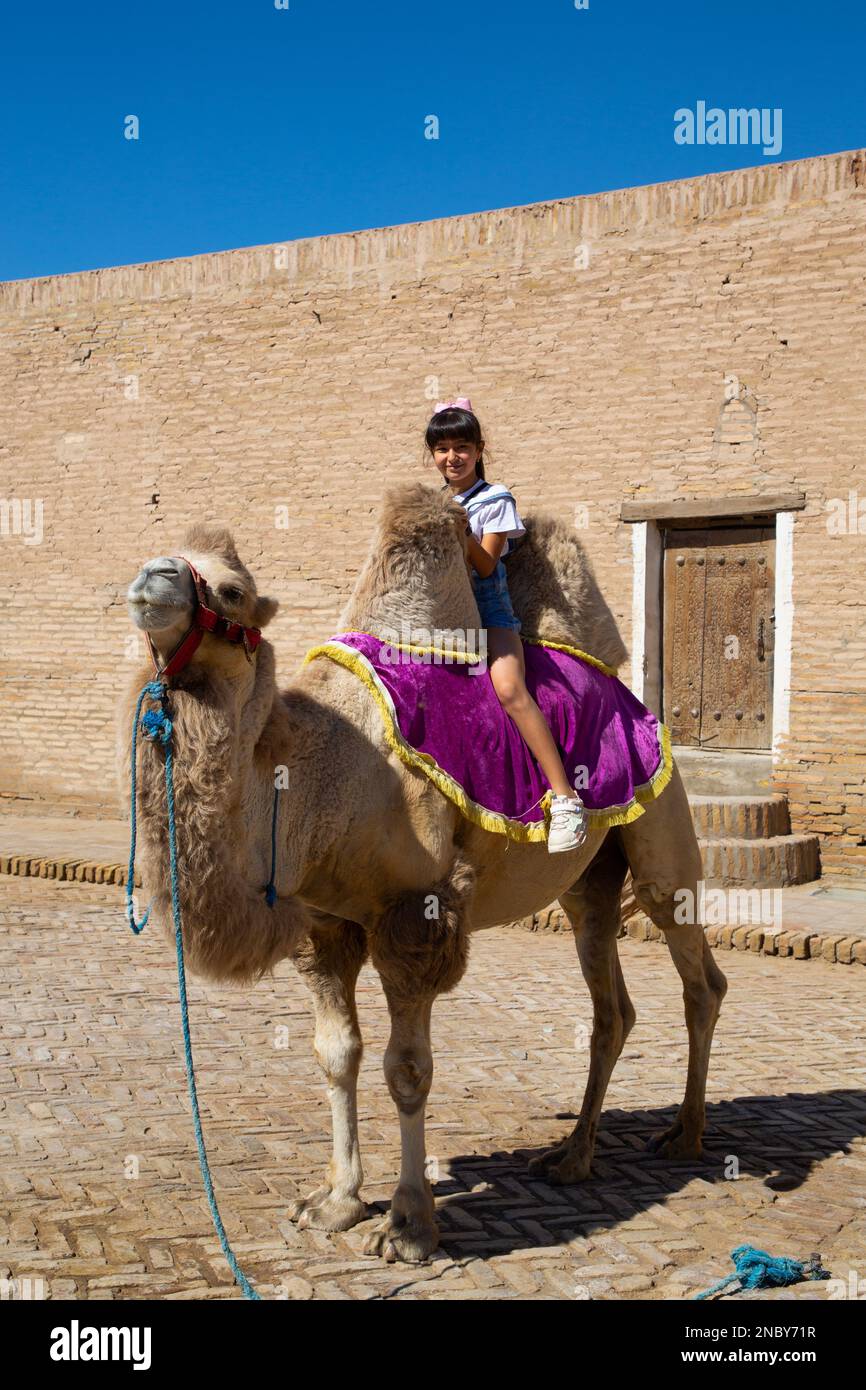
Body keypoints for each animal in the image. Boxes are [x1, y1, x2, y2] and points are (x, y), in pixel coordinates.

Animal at [117, 483, 727, 1265]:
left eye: (231, 589)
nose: (151, 578)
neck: (314, 774)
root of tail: (635, 701)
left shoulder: (415, 910)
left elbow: (406, 1070)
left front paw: (408, 1225)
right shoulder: (325, 921)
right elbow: (337, 1055)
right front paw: (336, 1201)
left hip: (661, 830)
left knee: (697, 974)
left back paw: (686, 1135)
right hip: (588, 887)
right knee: (610, 1005)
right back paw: (573, 1155)